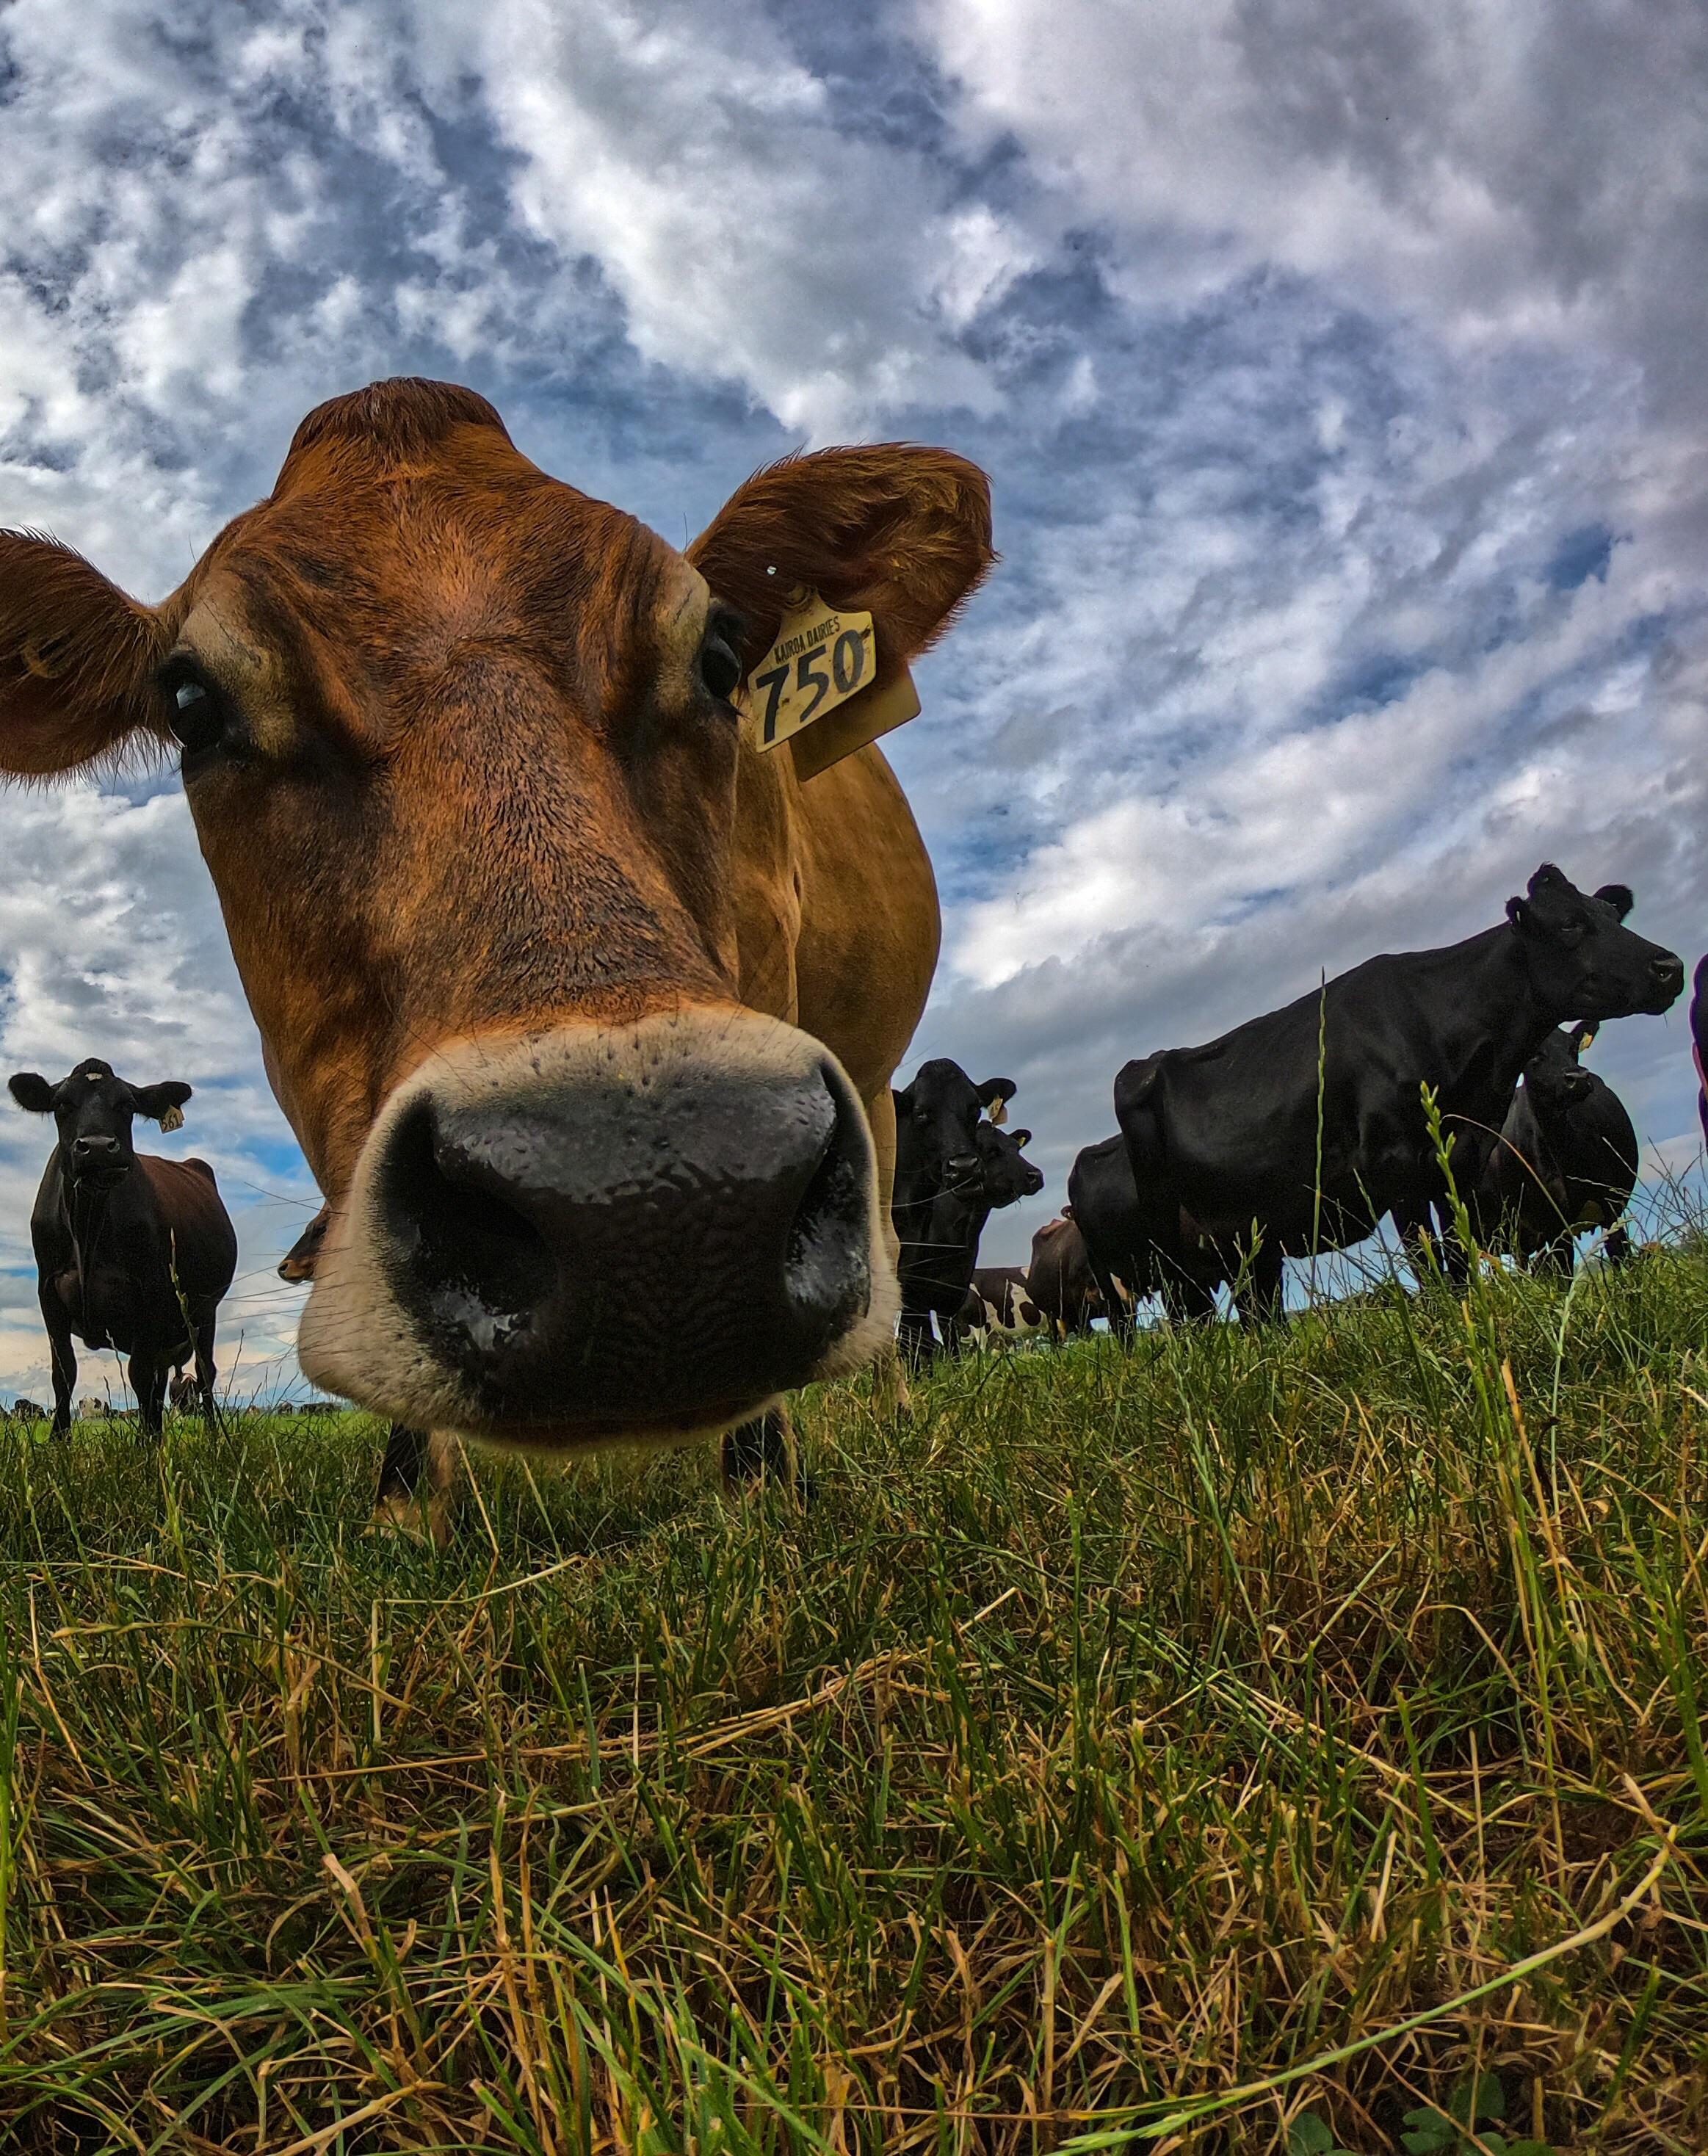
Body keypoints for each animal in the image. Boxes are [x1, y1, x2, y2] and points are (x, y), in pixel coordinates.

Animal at [8, 1060, 237, 1436]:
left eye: (128, 1105)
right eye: (61, 1104)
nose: (99, 1146)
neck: (88, 1225)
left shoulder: (150, 1293)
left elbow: (140, 1377)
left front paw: (146, 1447)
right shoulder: (50, 1292)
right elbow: (63, 1374)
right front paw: (59, 1443)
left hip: (204, 1311)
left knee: (205, 1373)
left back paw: (212, 1437)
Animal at [895, 1114, 1043, 1363]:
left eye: (1016, 1148)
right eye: (992, 1150)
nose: (1036, 1176)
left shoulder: (953, 1294)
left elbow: (951, 1347)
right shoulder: (912, 1296)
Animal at [1473, 1025, 1640, 1274]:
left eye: (1573, 1047)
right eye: (1533, 1053)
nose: (1577, 1078)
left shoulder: (1611, 1205)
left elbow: (1621, 1257)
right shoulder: (1551, 1222)